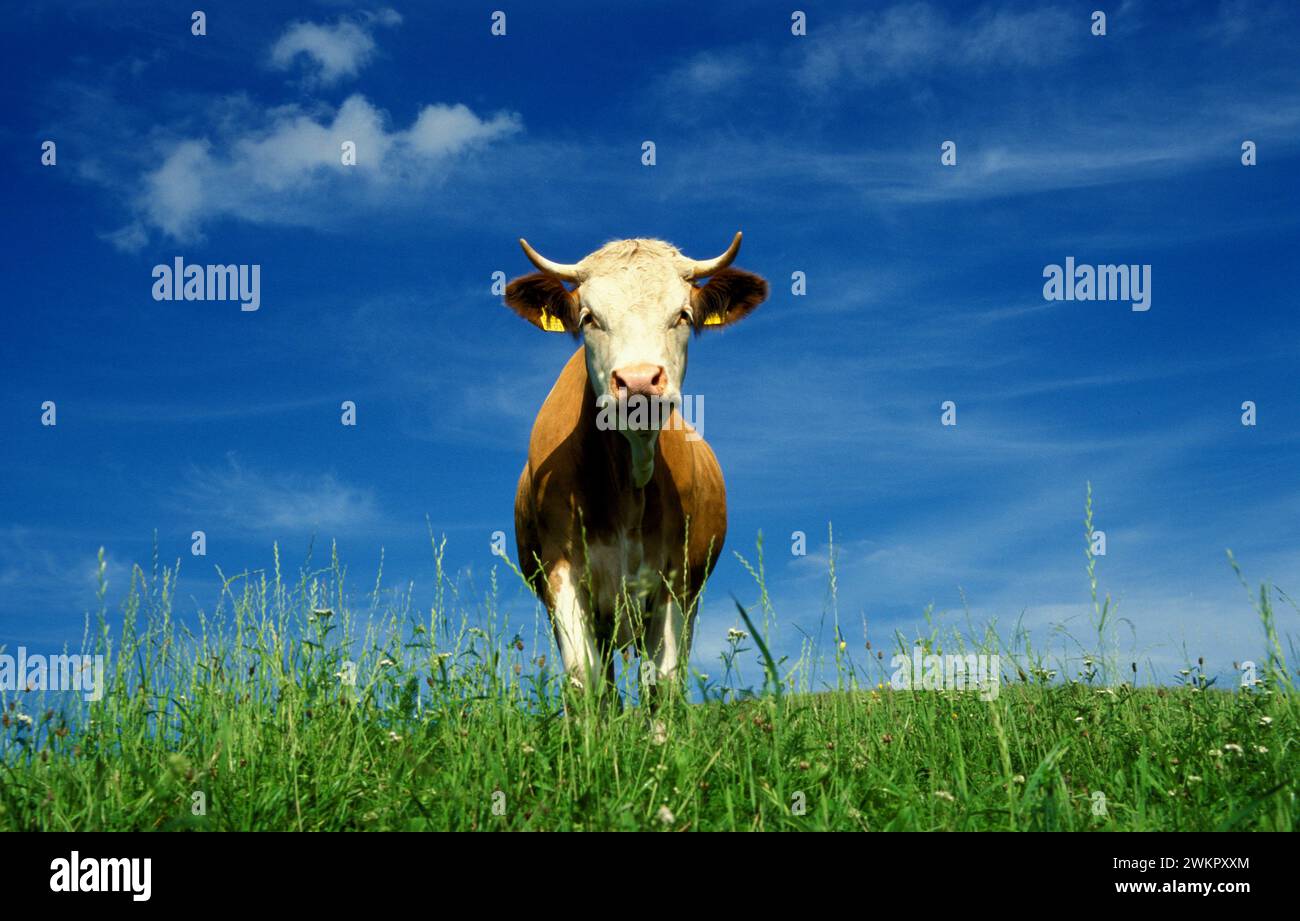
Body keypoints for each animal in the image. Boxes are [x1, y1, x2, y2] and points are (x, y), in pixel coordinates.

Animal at [503, 233, 768, 704]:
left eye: (682, 315)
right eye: (589, 317)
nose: (640, 382)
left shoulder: (675, 580)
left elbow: (663, 683)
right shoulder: (562, 573)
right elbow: (585, 678)